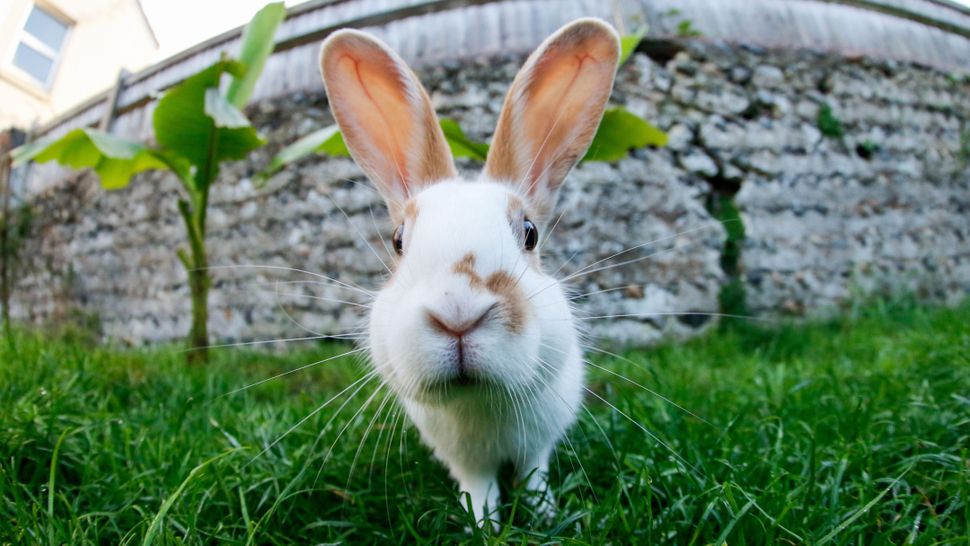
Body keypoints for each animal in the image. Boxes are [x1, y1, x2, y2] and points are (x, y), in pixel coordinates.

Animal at [319, 18, 619, 524]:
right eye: (398, 240)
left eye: (530, 233)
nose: (457, 313)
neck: (479, 401)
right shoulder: (465, 460)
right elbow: (479, 488)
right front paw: (482, 524)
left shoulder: (537, 445)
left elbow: (534, 475)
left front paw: (545, 514)